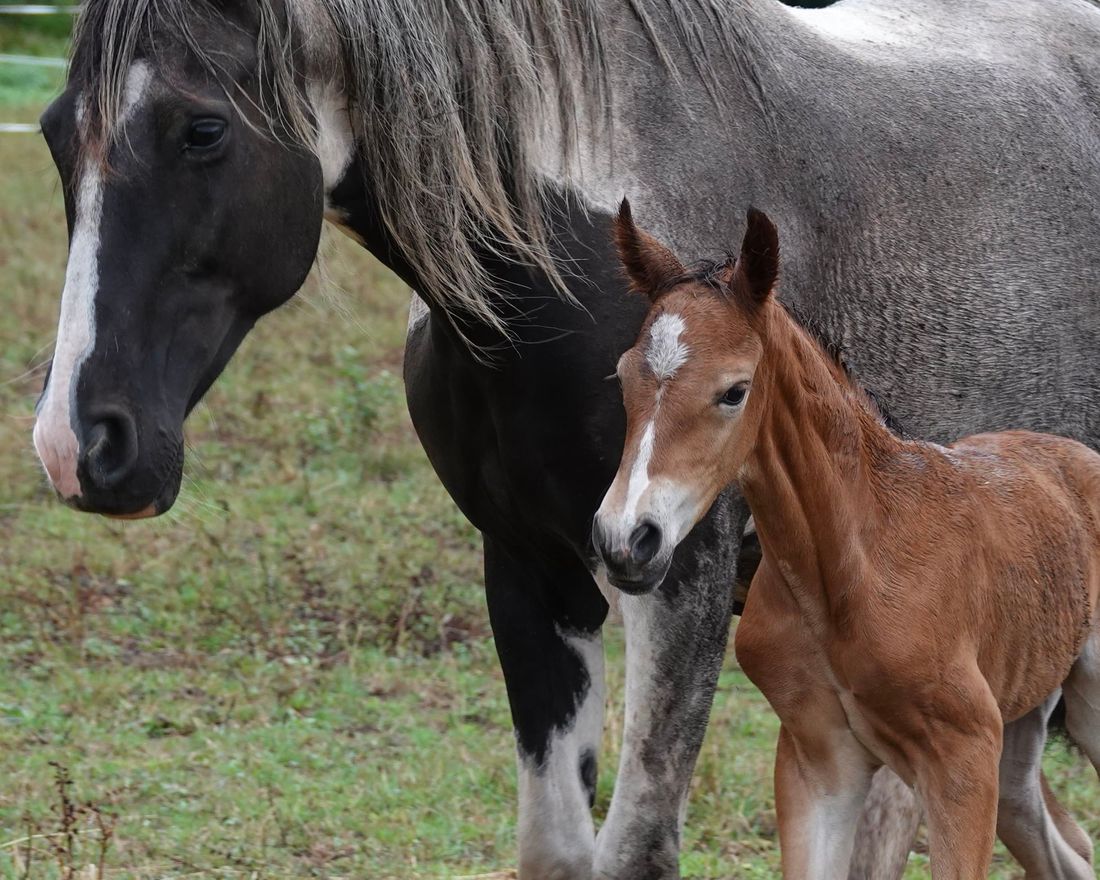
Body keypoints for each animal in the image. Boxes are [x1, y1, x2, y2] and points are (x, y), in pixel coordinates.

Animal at [595, 202, 1100, 877]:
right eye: (623, 376)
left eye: (734, 390)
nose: (627, 539)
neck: (850, 562)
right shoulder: (819, 762)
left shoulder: (962, 759)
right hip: (1021, 725)